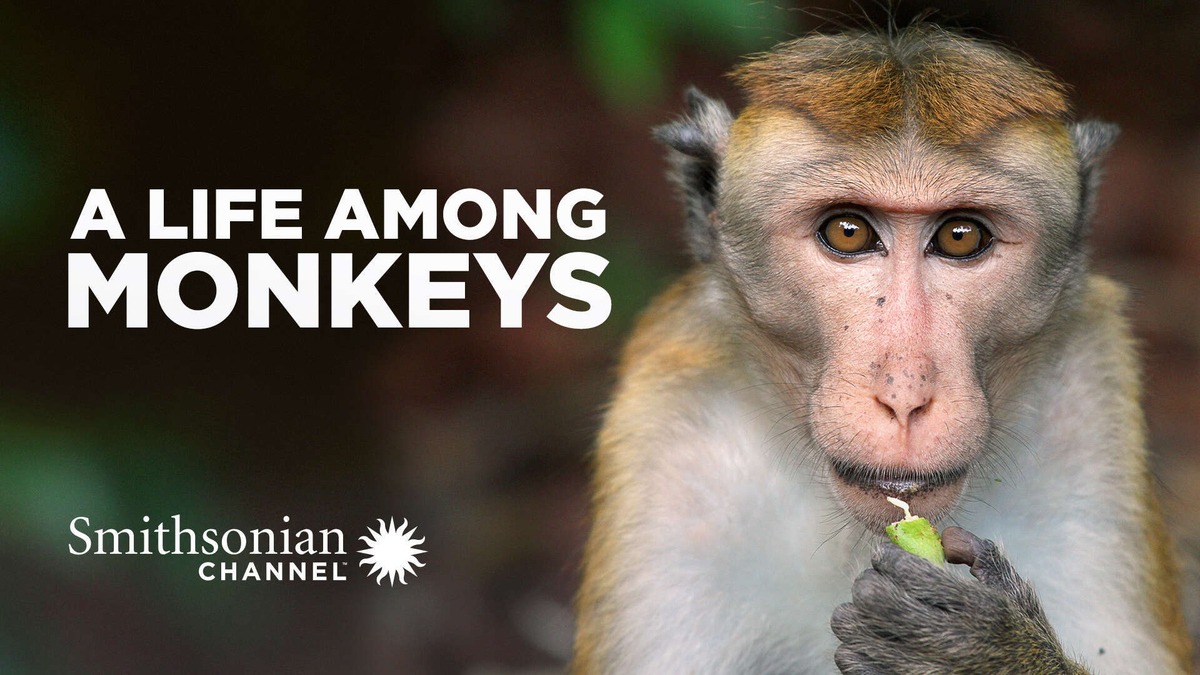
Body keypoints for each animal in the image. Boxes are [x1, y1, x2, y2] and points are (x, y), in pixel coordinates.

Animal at [571, 25, 1194, 675]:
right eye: (847, 232)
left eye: (960, 236)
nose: (905, 397)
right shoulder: (674, 446)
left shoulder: (1090, 406)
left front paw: (979, 650)